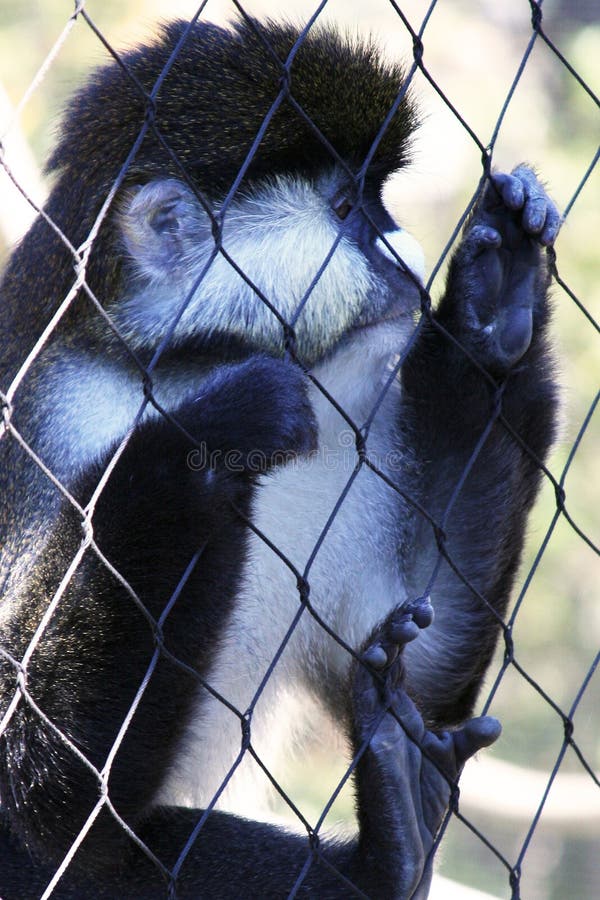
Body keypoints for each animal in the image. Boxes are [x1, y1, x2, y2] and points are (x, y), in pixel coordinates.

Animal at [0, 16, 560, 899]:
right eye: (346, 207)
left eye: (375, 197)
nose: (404, 253)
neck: (179, 360)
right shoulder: (41, 421)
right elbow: (41, 796)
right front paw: (206, 437)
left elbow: (423, 659)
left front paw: (490, 309)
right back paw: (383, 857)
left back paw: (396, 826)